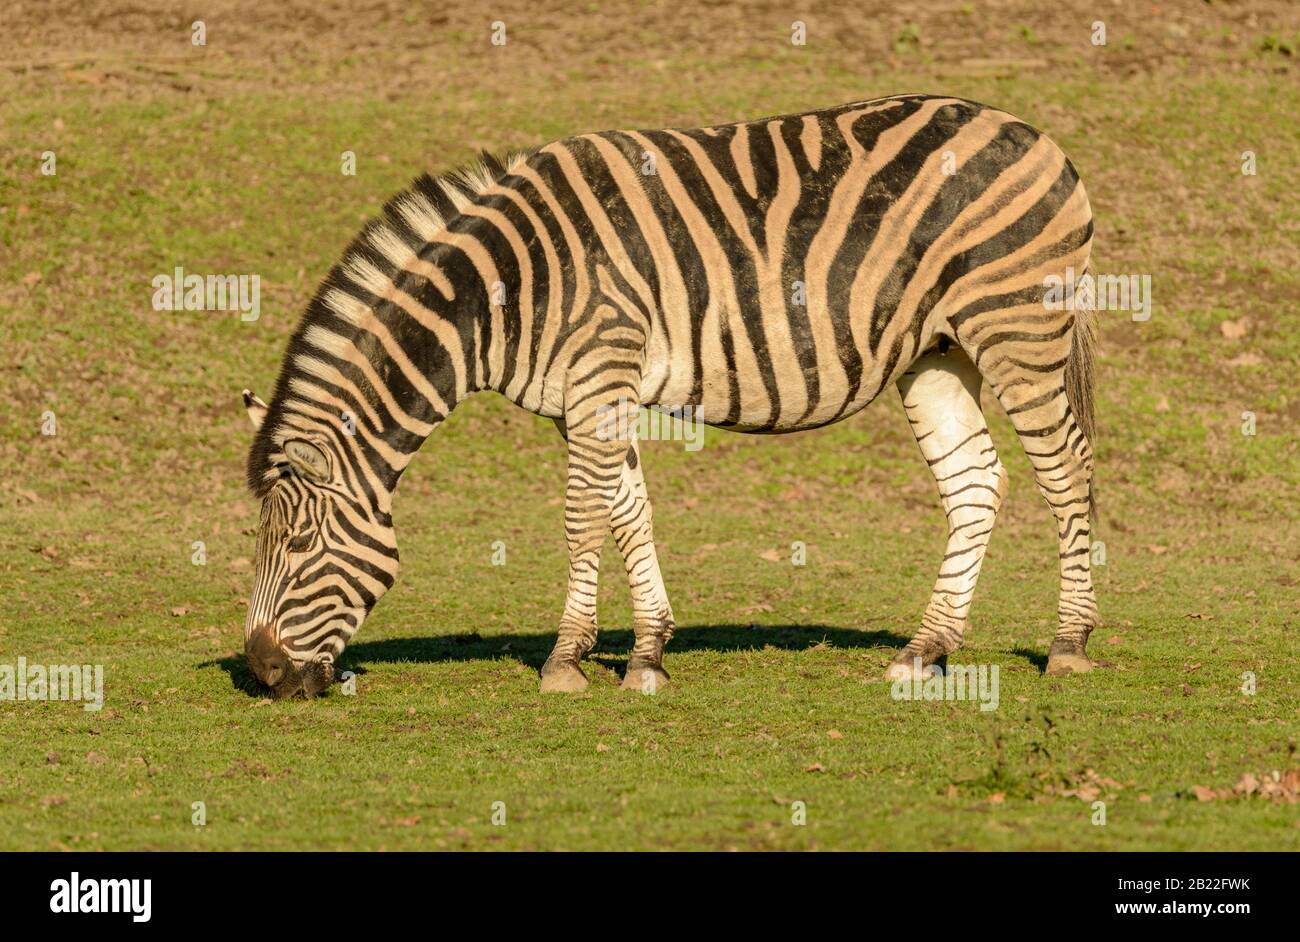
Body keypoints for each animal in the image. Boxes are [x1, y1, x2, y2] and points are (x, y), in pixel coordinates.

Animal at [239, 94, 1098, 698]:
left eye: (302, 546)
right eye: (260, 544)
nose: (263, 674)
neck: (507, 288)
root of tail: (1037, 135)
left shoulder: (599, 371)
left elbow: (582, 516)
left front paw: (565, 660)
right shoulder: (585, 397)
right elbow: (628, 512)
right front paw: (647, 654)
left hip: (1016, 328)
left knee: (1066, 474)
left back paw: (1069, 646)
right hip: (936, 351)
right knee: (976, 482)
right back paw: (925, 651)